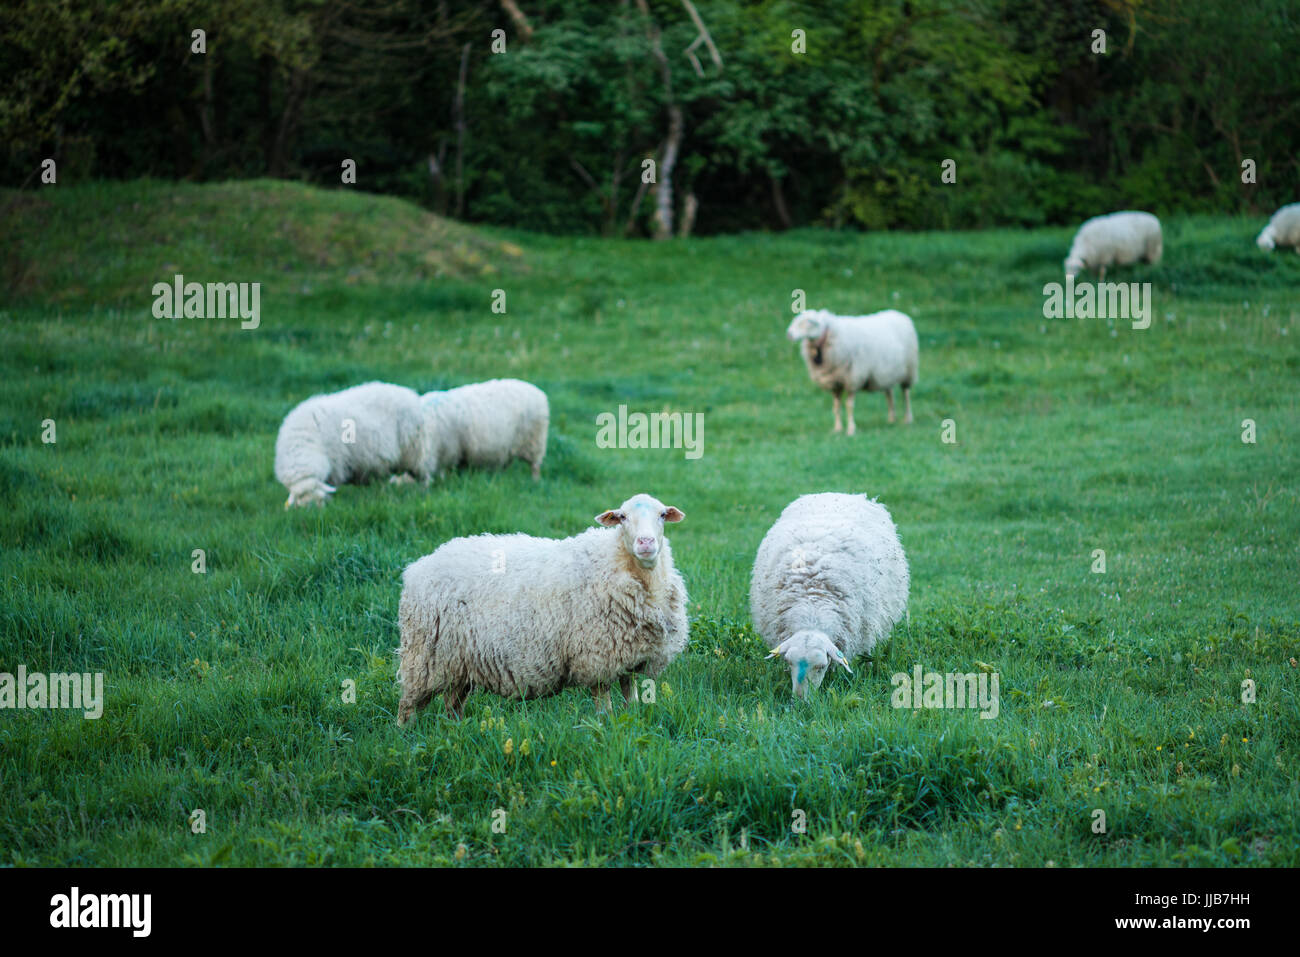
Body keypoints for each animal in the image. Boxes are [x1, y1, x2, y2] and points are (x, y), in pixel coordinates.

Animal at [275, 381, 426, 507]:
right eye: (301, 502)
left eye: (319, 497)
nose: (315, 512)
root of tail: (410, 393)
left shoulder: (335, 466)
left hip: (413, 449)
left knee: (420, 472)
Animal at [396, 493, 688, 721]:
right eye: (622, 517)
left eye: (663, 515)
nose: (646, 543)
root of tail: (417, 567)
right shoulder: (596, 657)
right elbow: (604, 705)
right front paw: (606, 726)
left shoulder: (631, 656)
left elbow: (632, 699)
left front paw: (630, 722)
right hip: (423, 655)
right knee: (407, 705)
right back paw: (406, 736)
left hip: (459, 660)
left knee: (452, 703)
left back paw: (455, 732)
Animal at [418, 378, 549, 481]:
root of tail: (538, 392)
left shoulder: (449, 452)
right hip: (509, 445)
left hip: (533, 441)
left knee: (535, 465)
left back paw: (535, 480)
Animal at [786, 309, 918, 434]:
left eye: (807, 322)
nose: (789, 334)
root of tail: (899, 314)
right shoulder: (834, 382)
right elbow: (836, 406)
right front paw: (837, 429)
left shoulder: (852, 379)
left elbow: (849, 406)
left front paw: (851, 429)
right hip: (887, 373)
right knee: (889, 394)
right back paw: (891, 419)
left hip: (909, 369)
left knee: (906, 394)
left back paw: (908, 419)